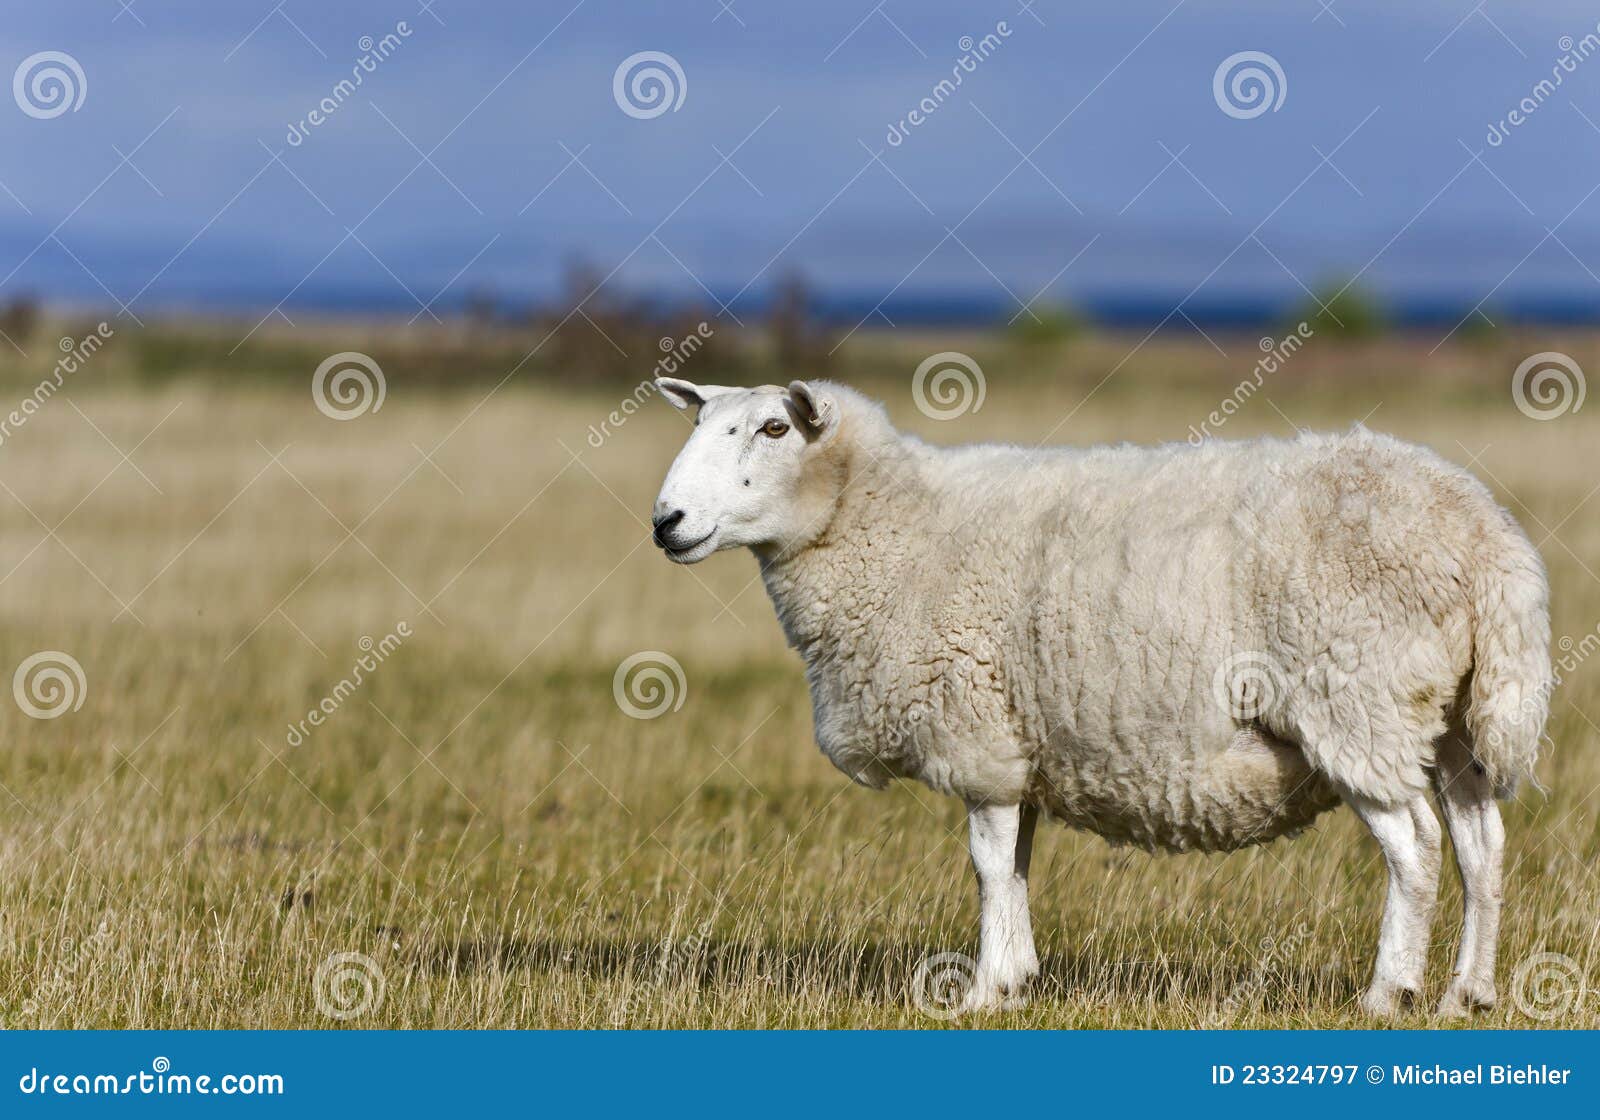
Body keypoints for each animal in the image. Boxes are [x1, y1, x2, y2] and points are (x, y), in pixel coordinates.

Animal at [649, 376, 1552, 1017]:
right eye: (699, 424)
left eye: (774, 429)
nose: (667, 521)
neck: (890, 527)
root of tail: (1483, 536)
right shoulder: (1019, 746)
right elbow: (1014, 864)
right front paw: (1016, 979)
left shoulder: (977, 732)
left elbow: (987, 865)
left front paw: (982, 991)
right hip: (1452, 720)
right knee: (1481, 845)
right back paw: (1467, 993)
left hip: (1358, 702)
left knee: (1416, 848)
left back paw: (1389, 993)